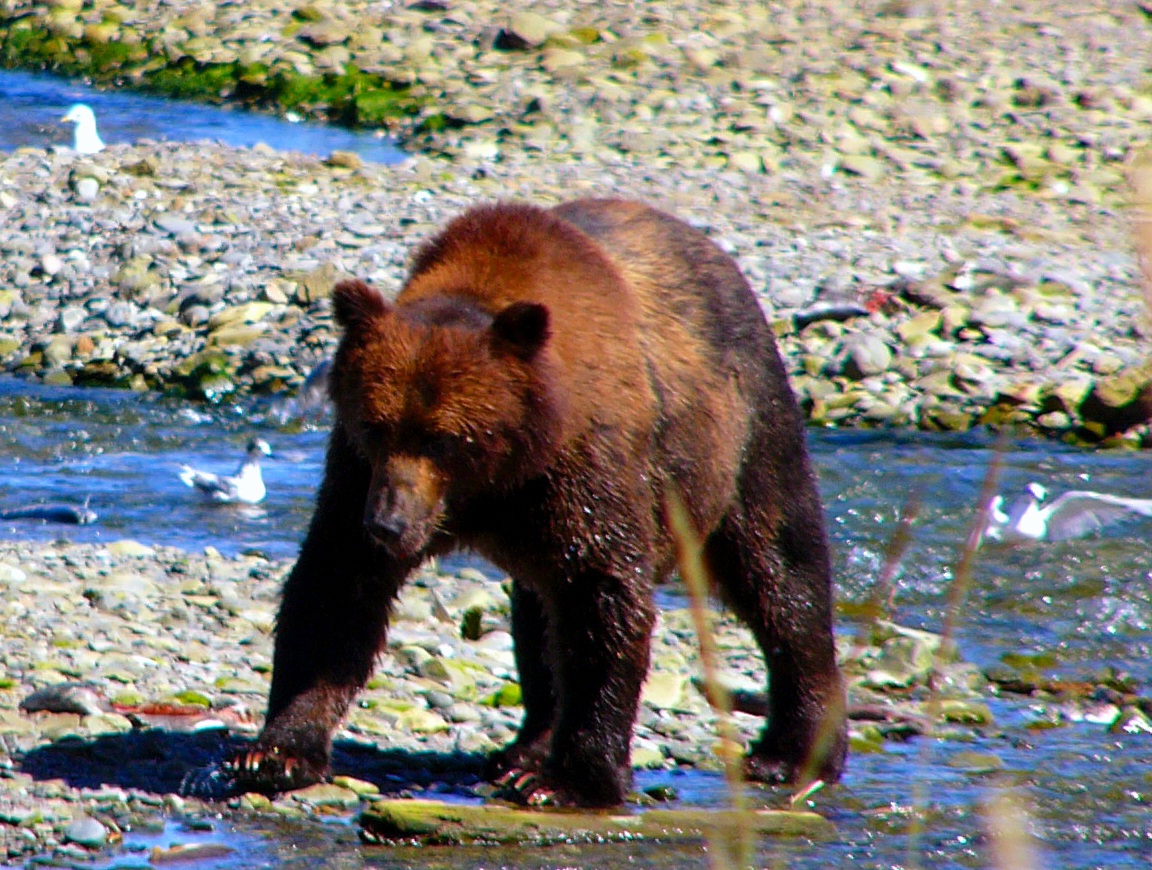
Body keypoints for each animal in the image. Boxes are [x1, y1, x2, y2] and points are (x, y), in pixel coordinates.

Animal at [226, 198, 847, 807]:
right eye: (377, 427)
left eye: (443, 438)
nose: (388, 524)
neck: (495, 478)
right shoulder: (358, 473)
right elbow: (336, 583)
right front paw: (277, 751)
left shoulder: (584, 462)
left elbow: (601, 593)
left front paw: (571, 780)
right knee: (537, 611)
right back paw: (523, 749)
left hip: (744, 428)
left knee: (779, 570)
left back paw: (793, 752)